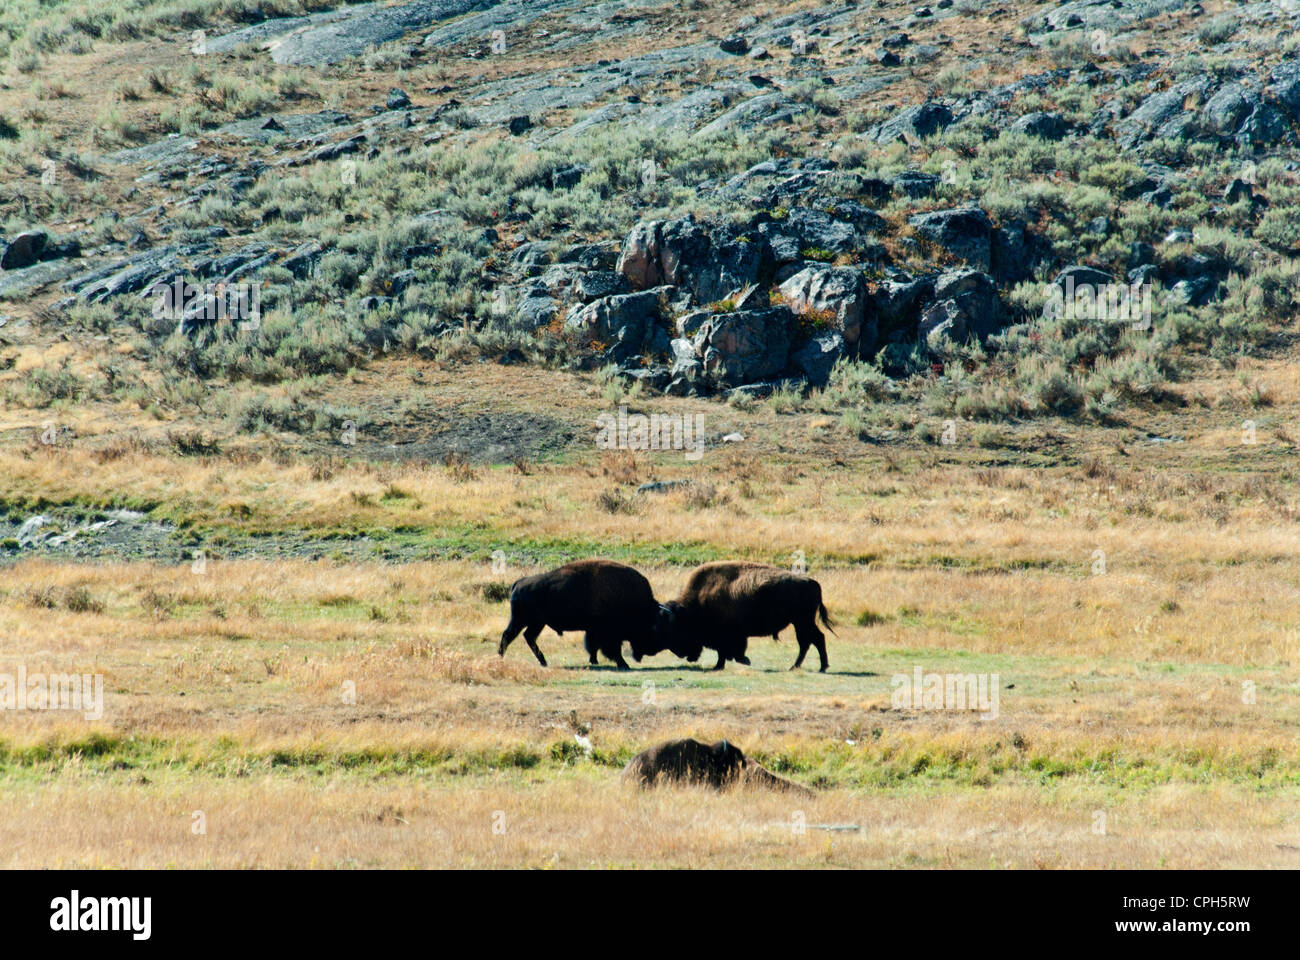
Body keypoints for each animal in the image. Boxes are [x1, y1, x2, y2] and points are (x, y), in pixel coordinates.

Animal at [498, 558, 660, 670]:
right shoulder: (607, 634)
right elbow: (610, 649)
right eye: (651, 627)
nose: (651, 651)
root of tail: (520, 582)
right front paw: (623, 664)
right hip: (521, 620)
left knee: (528, 636)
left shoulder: (594, 631)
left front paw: (594, 661)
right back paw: (500, 658)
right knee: (508, 635)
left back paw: (543, 662)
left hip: (537, 623)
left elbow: (593, 646)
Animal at [640, 561, 834, 671]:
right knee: (809, 641)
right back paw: (800, 666)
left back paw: (818, 667)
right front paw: (722, 665)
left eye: (670, 629)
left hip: (802, 621)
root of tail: (812, 582)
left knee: (814, 639)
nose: (686, 656)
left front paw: (742, 661)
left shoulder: (729, 636)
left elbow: (729, 651)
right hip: (800, 622)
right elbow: (725, 652)